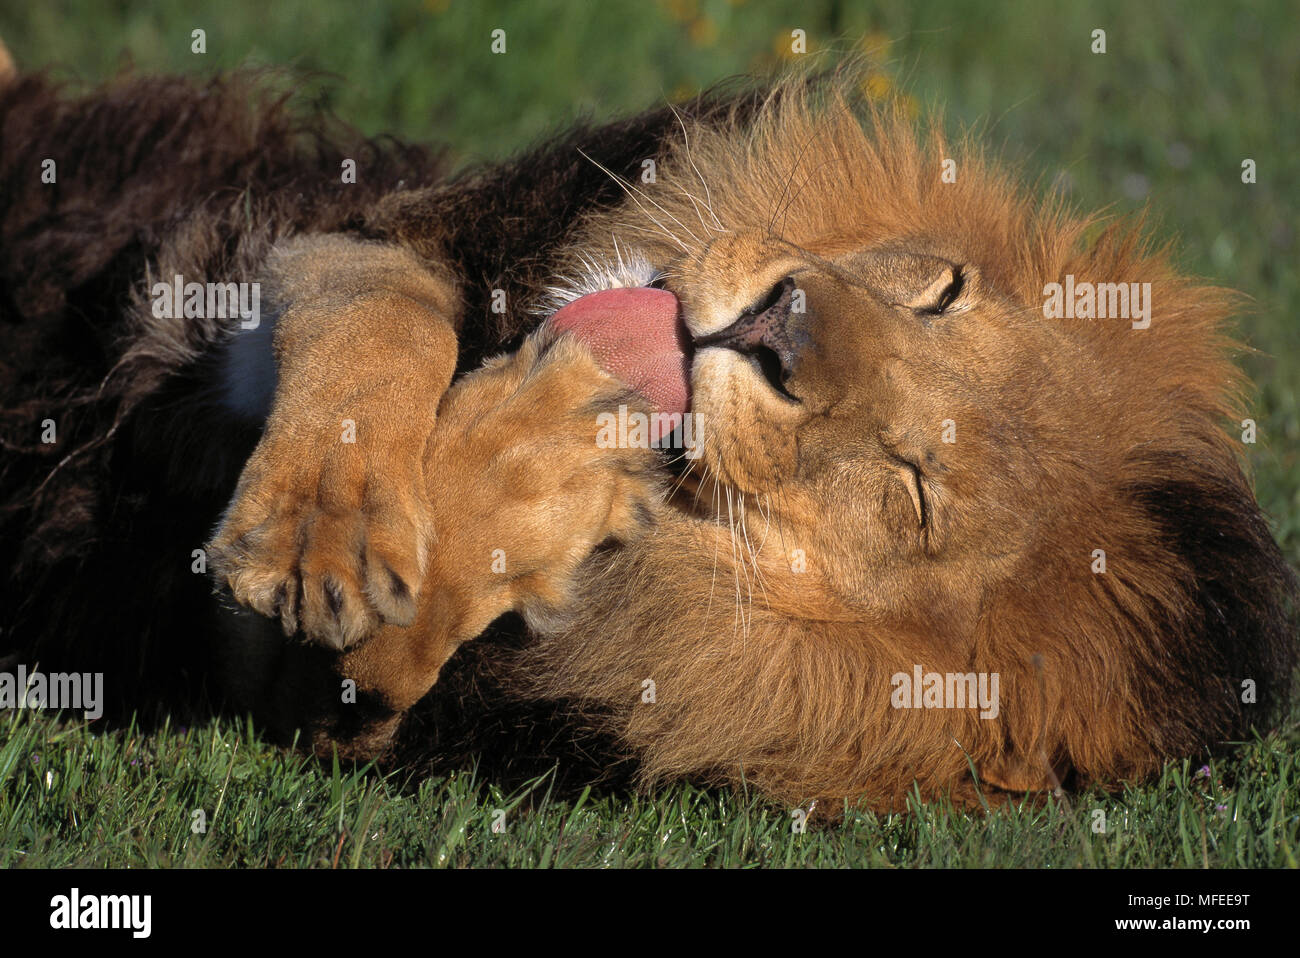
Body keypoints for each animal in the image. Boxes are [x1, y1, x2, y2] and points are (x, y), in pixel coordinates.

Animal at [1, 64, 1296, 811]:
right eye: (944, 293)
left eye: (913, 490)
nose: (781, 324)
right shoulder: (317, 248)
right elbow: (386, 316)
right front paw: (325, 522)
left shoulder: (297, 692)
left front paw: (532, 465)